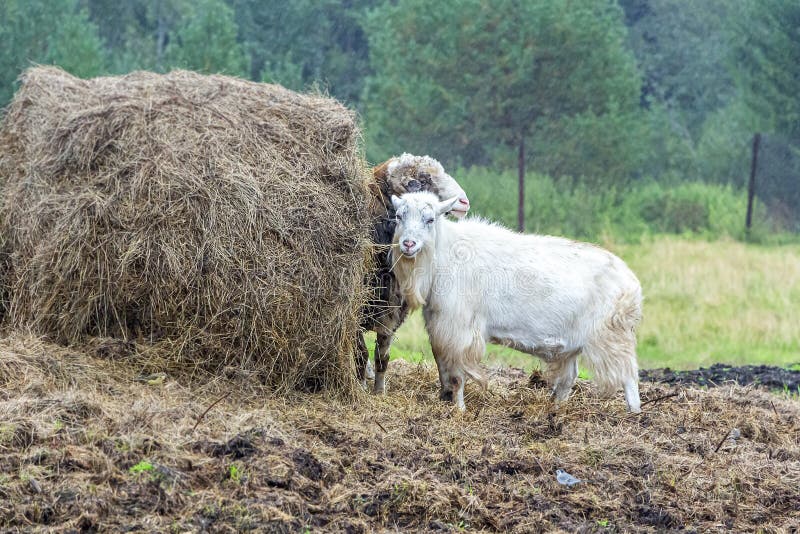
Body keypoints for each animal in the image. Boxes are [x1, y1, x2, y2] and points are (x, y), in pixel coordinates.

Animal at [358, 155, 470, 394]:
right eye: (422, 180)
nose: (464, 202)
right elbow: (360, 354)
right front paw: (360, 388)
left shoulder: (392, 310)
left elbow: (382, 356)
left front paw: (379, 392)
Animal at [390, 192, 643, 413]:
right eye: (399, 216)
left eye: (430, 219)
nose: (408, 244)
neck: (445, 252)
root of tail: (633, 284)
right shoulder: (440, 328)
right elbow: (443, 368)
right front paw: (446, 400)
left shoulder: (459, 330)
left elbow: (457, 375)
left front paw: (460, 410)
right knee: (568, 379)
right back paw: (555, 408)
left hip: (612, 336)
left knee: (629, 377)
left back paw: (634, 413)